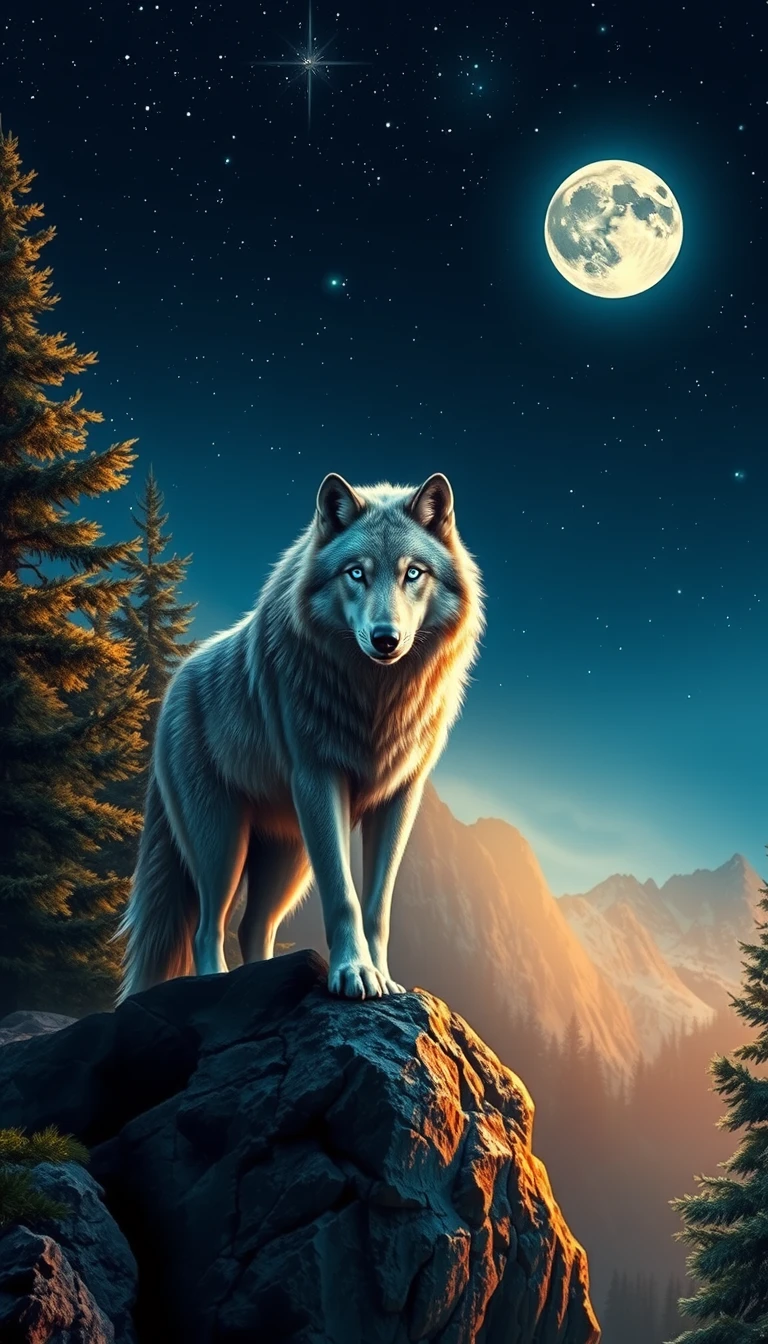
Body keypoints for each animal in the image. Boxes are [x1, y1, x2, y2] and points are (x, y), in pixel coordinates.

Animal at [116, 471, 484, 1003]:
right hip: (223, 843)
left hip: (287, 861)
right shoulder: (318, 781)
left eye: (413, 573)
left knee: (254, 926)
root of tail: (172, 687)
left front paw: (384, 978)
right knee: (208, 926)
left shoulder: (400, 796)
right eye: (356, 573)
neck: (376, 700)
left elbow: (377, 907)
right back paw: (215, 983)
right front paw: (354, 973)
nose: (385, 639)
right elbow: (344, 897)